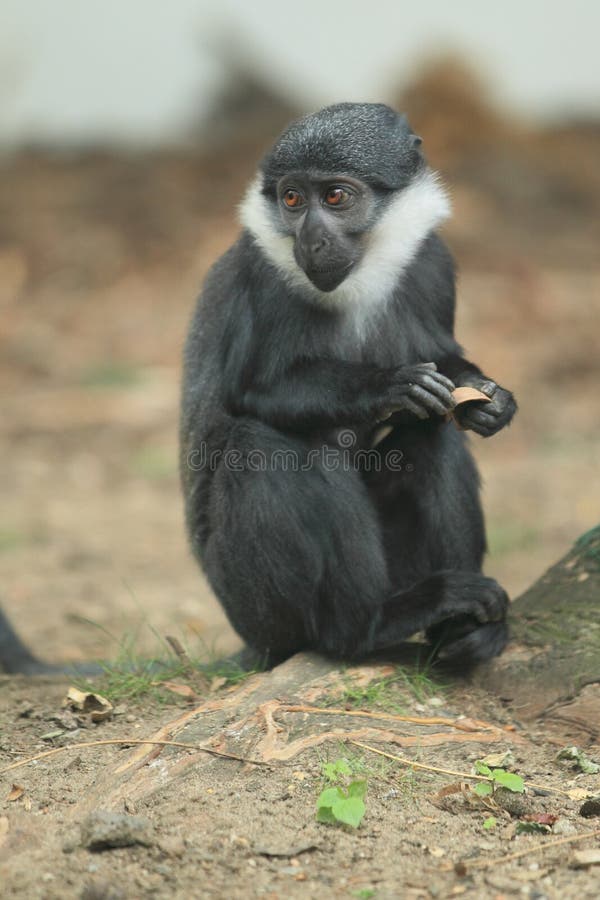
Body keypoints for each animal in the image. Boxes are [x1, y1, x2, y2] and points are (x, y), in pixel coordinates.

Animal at [180, 103, 517, 671]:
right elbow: (253, 392)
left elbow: (445, 371)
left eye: (335, 196)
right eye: (293, 199)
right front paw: (389, 387)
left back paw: (462, 632)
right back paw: (365, 628)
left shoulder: (432, 262)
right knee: (263, 443)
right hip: (253, 605)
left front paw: (488, 401)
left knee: (432, 435)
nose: (310, 240)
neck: (361, 276)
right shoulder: (264, 276)